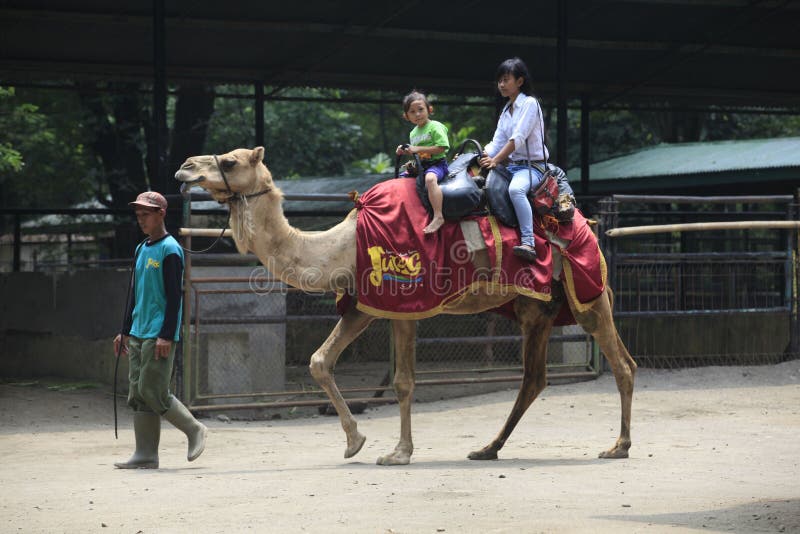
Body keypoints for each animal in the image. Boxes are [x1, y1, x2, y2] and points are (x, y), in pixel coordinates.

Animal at [175, 147, 637, 466]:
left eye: (230, 161)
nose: (184, 168)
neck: (343, 244)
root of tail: (584, 221)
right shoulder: (363, 305)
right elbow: (320, 361)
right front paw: (354, 442)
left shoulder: (406, 302)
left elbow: (403, 382)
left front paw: (397, 453)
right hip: (535, 309)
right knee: (534, 379)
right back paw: (488, 449)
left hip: (587, 292)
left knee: (622, 364)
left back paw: (618, 446)